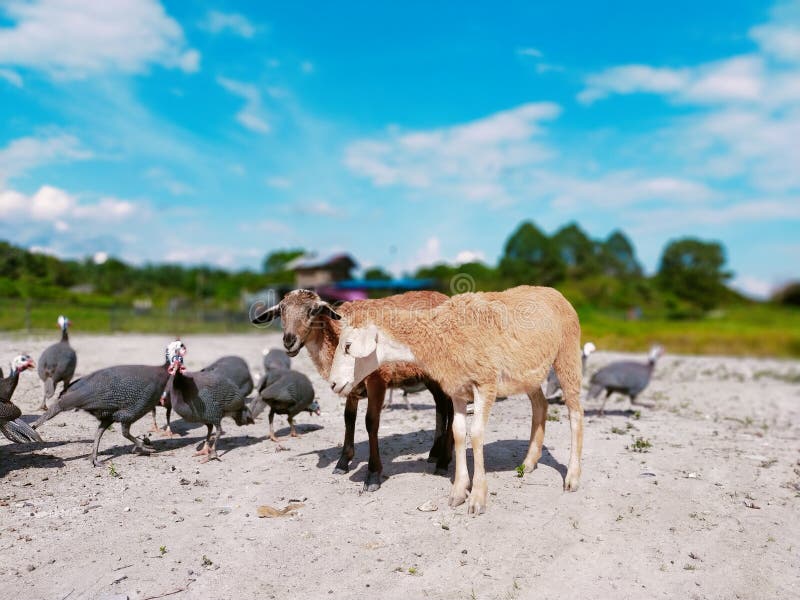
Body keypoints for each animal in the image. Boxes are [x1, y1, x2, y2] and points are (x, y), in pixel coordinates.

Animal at [250, 289, 454, 492]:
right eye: (281, 310)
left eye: (313, 310)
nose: (289, 341)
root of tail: (445, 297)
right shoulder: (349, 385)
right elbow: (348, 419)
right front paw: (342, 463)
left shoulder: (377, 379)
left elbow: (371, 422)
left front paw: (372, 475)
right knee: (441, 407)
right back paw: (435, 453)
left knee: (451, 411)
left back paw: (443, 461)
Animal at [326, 285, 584, 515]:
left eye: (347, 346)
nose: (333, 384)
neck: (439, 333)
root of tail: (554, 292)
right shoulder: (458, 389)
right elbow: (459, 433)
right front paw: (459, 491)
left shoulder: (485, 383)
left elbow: (477, 434)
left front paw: (478, 498)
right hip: (529, 372)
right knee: (540, 405)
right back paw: (529, 462)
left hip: (567, 354)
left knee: (575, 414)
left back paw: (572, 477)